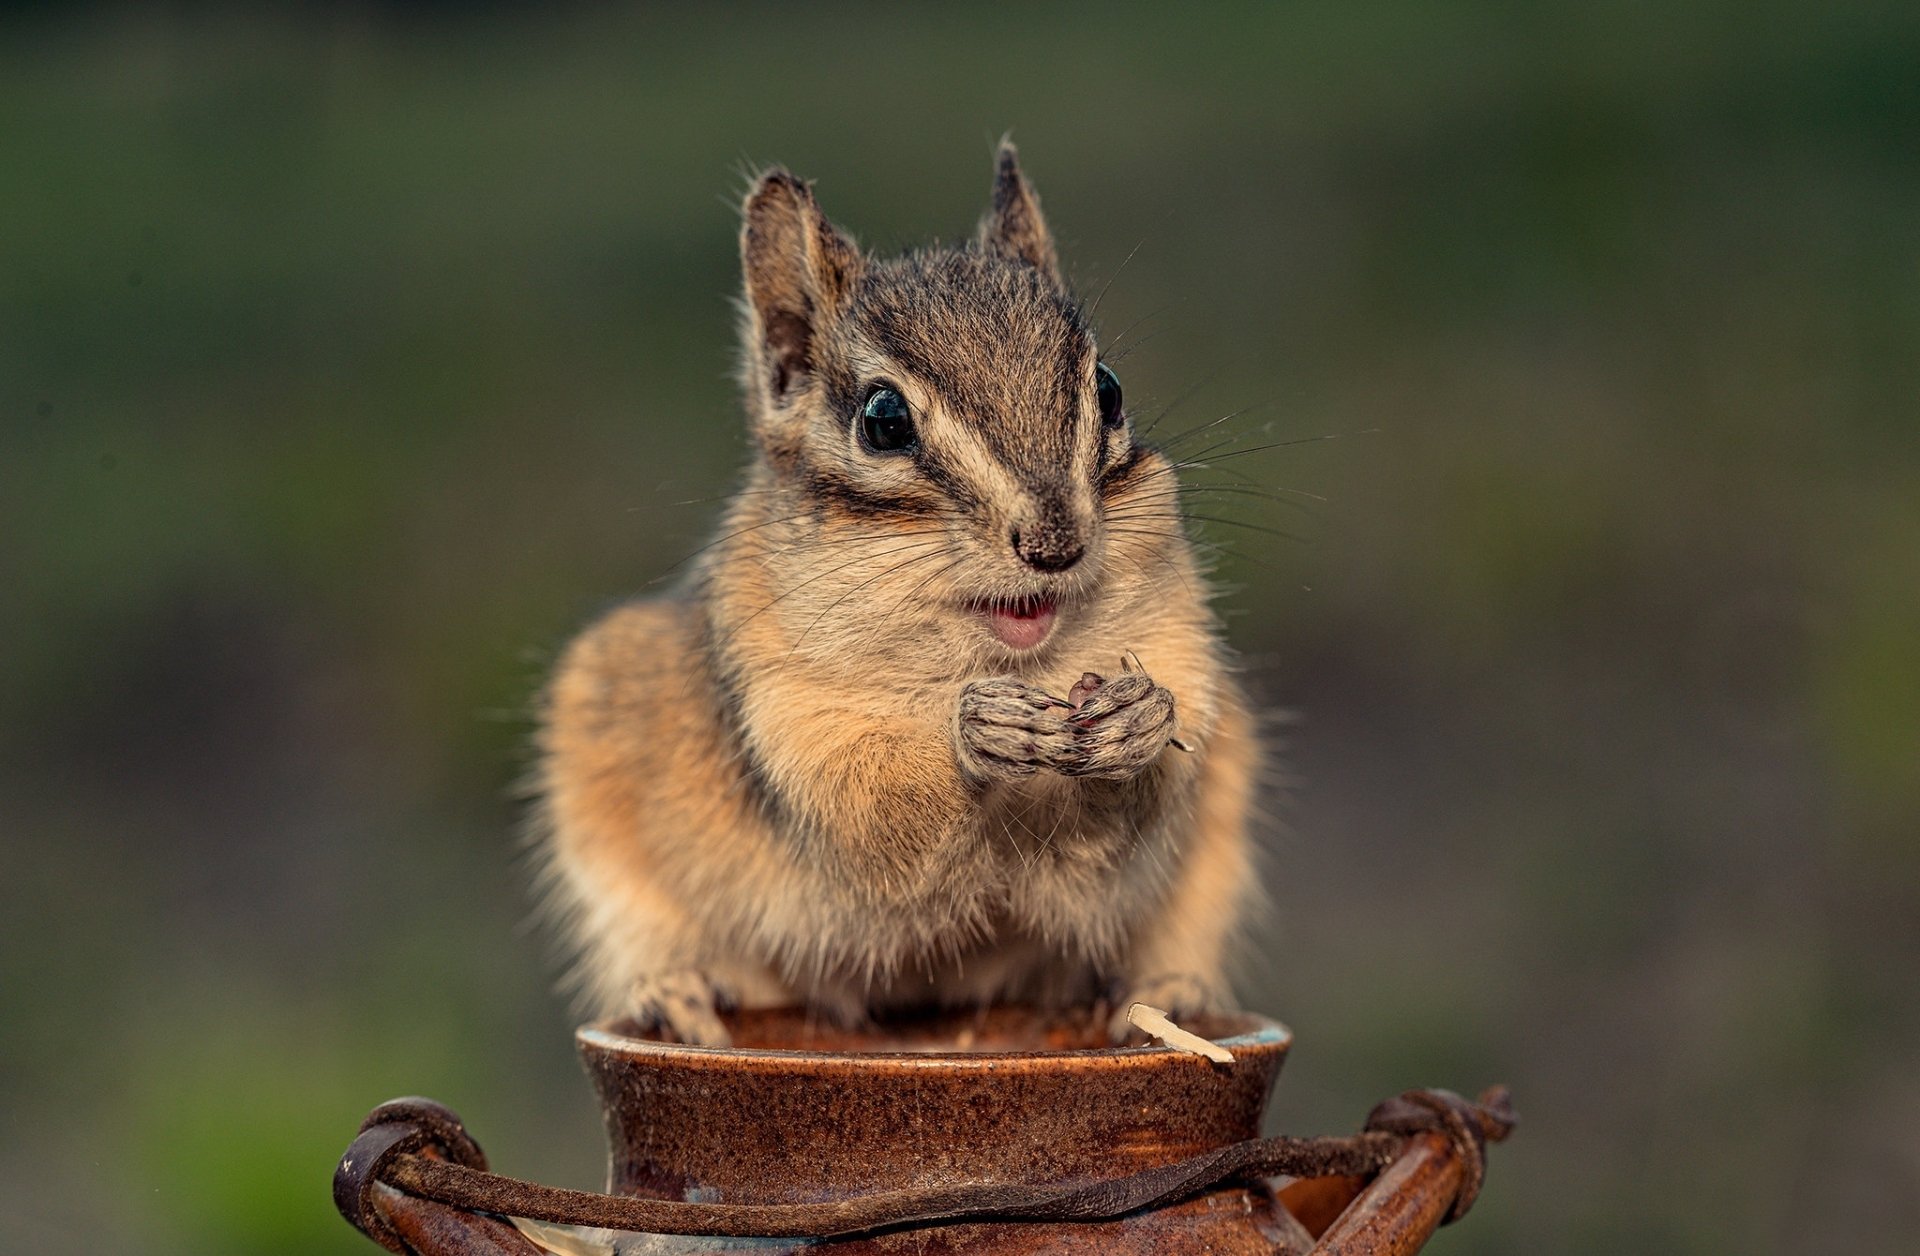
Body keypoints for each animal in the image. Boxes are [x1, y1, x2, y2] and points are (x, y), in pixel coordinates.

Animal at [532, 143, 1262, 1046]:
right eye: (883, 421)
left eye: (1111, 389)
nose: (1056, 546)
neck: (1012, 660)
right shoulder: (797, 728)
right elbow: (880, 825)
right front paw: (975, 732)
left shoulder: (1180, 650)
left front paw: (1140, 719)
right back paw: (675, 994)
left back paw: (1166, 996)